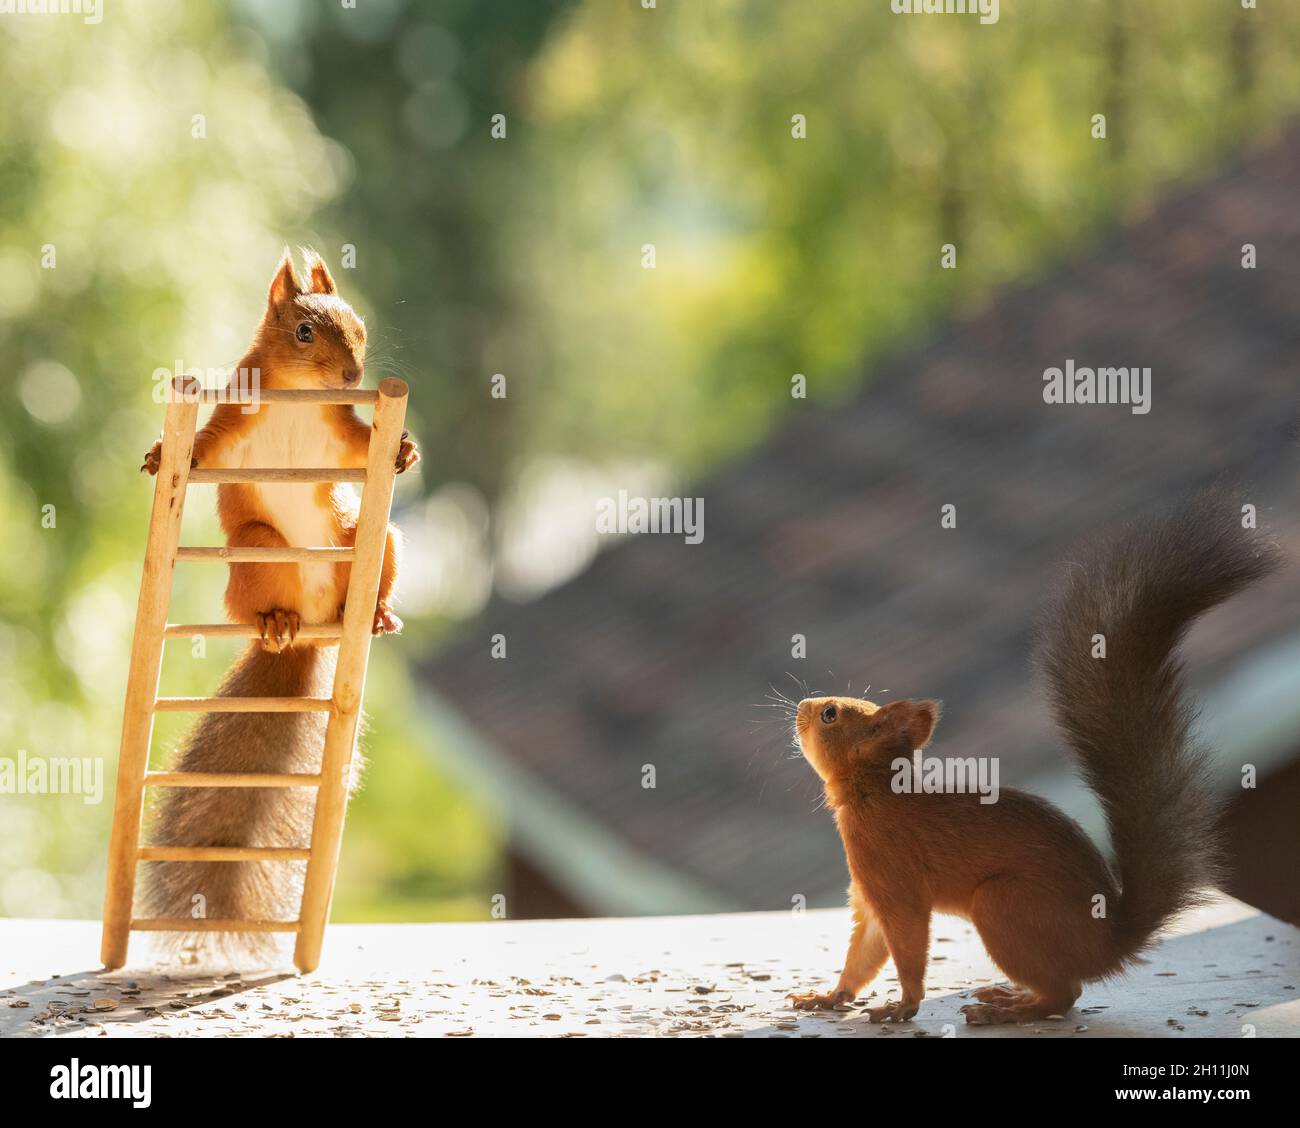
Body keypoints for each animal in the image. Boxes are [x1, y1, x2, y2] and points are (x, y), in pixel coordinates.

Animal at [137, 249, 419, 963]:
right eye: (303, 332)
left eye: (361, 327)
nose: (351, 376)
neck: (297, 397)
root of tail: (316, 632)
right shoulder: (230, 419)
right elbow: (200, 448)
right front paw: (159, 453)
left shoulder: (343, 435)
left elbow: (365, 447)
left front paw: (404, 450)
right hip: (259, 551)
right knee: (254, 610)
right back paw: (274, 621)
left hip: (371, 540)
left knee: (377, 555)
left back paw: (379, 613)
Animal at [788, 491, 1280, 1024]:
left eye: (831, 715)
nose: (802, 708)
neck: (873, 793)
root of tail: (1106, 946)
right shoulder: (868, 890)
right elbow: (865, 951)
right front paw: (830, 996)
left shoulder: (892, 874)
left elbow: (906, 939)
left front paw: (904, 1005)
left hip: (1004, 905)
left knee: (1066, 994)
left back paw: (1009, 1008)